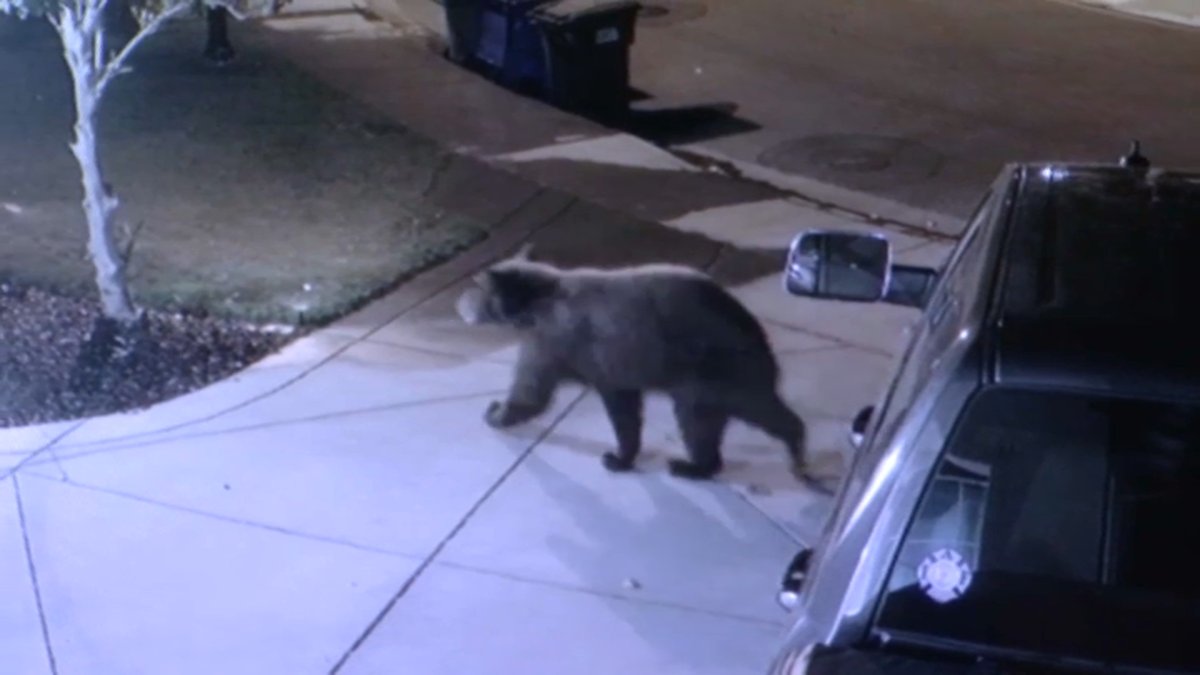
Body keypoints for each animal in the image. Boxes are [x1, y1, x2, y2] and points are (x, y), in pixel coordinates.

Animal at [456, 244, 810, 482]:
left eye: (480, 290)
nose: (461, 303)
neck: (536, 302)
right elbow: (626, 410)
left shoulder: (554, 344)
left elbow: (531, 394)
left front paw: (497, 413)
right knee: (712, 426)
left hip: (715, 376)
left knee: (718, 418)